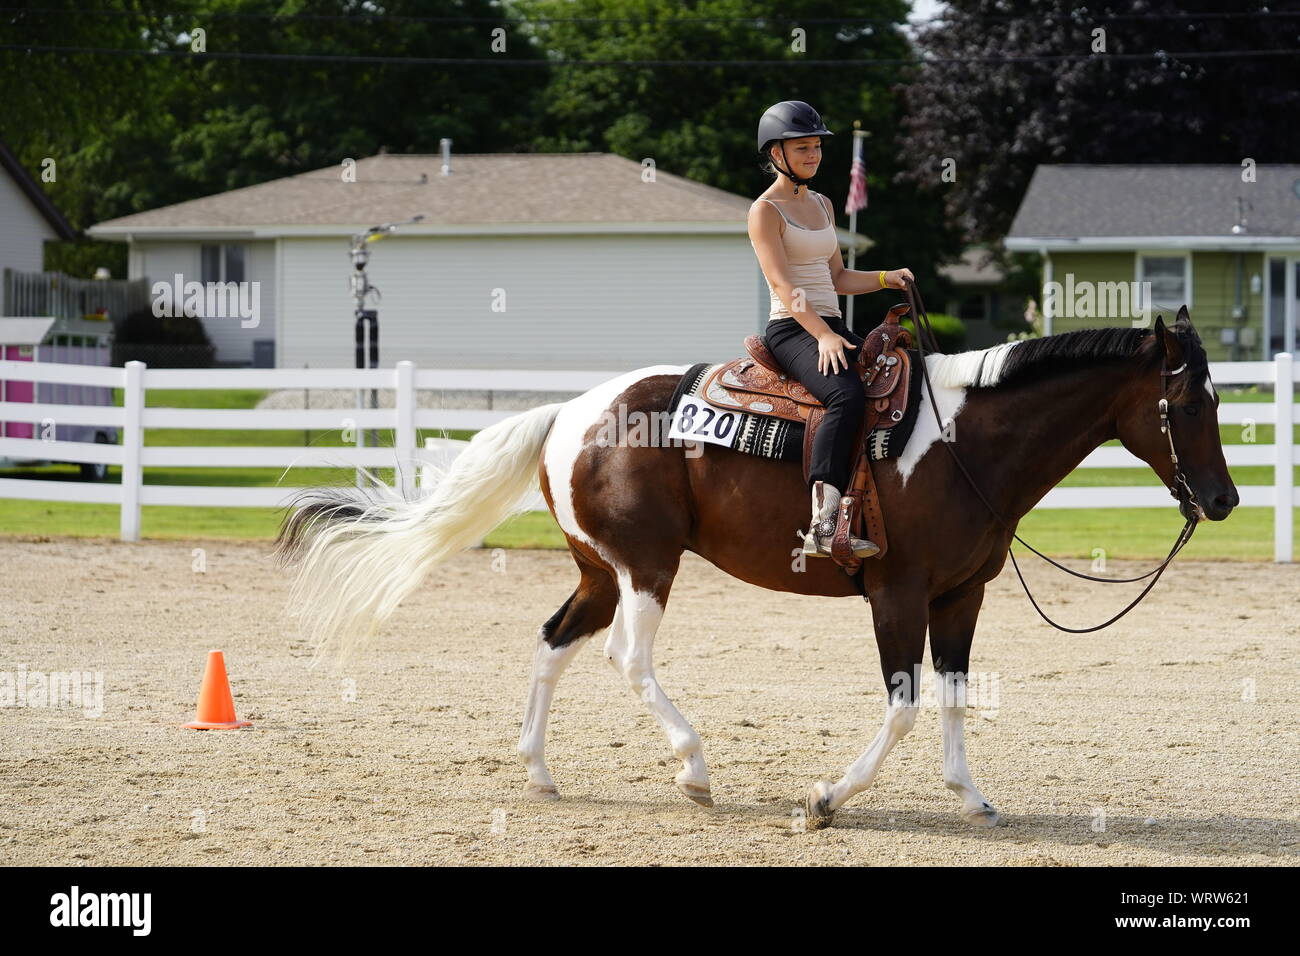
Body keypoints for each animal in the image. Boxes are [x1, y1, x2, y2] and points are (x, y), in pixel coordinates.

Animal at [273, 305, 1237, 829]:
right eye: (1188, 403)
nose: (1224, 500)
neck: (959, 441)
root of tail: (568, 412)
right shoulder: (895, 594)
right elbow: (903, 706)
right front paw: (825, 799)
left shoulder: (961, 596)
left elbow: (955, 696)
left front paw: (971, 796)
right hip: (645, 567)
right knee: (628, 657)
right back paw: (694, 770)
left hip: (598, 571)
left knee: (553, 642)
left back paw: (540, 772)